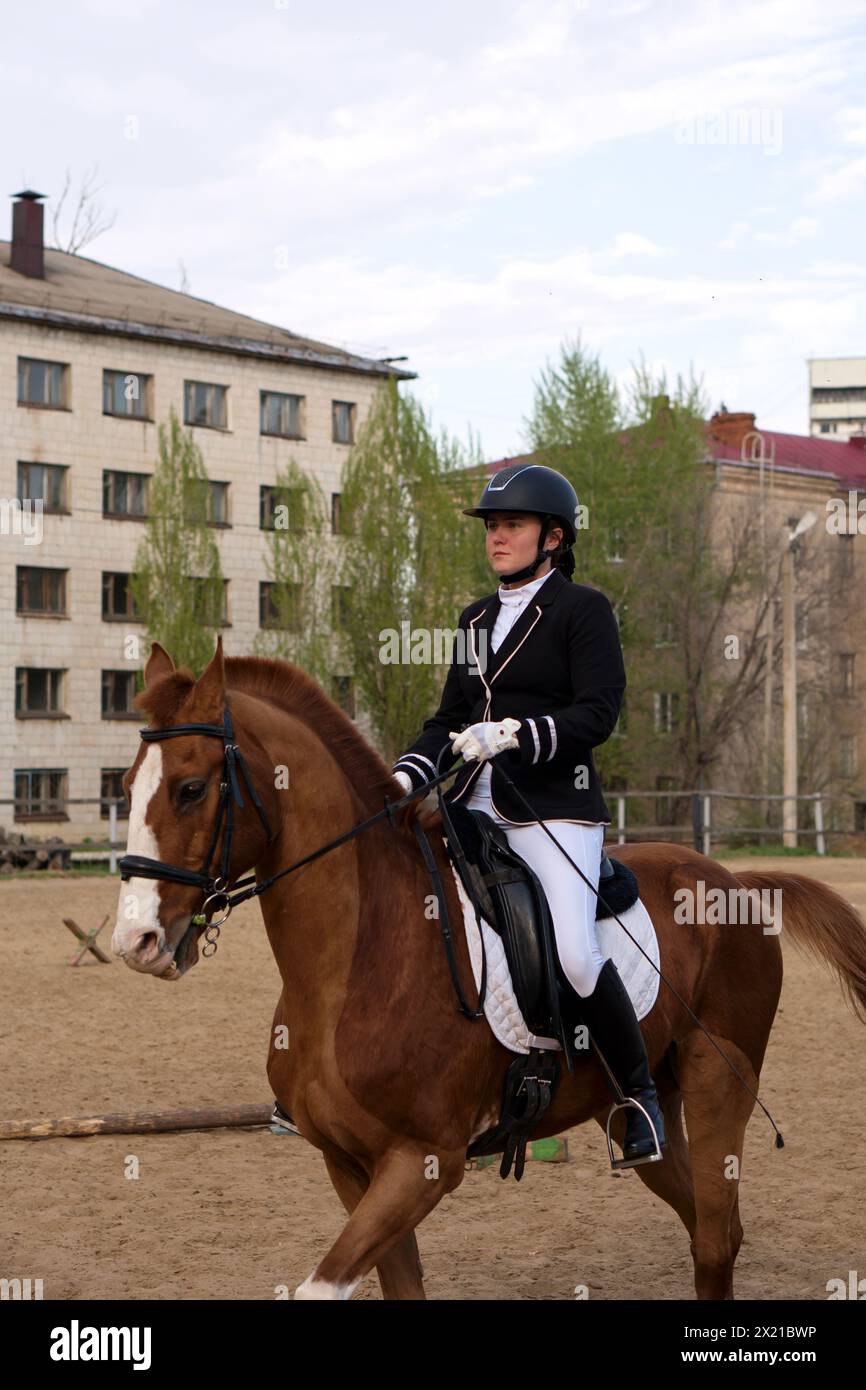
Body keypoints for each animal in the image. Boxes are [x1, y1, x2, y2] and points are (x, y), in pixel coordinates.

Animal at [111, 639, 866, 1300]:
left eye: (190, 788)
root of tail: (735, 879)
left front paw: (487, 739)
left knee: (714, 1238)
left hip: (719, 1085)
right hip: (630, 1106)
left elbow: (317, 1288)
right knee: (706, 1222)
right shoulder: (350, 1165)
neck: (354, 963)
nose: (135, 941)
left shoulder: (423, 1162)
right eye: (124, 787)